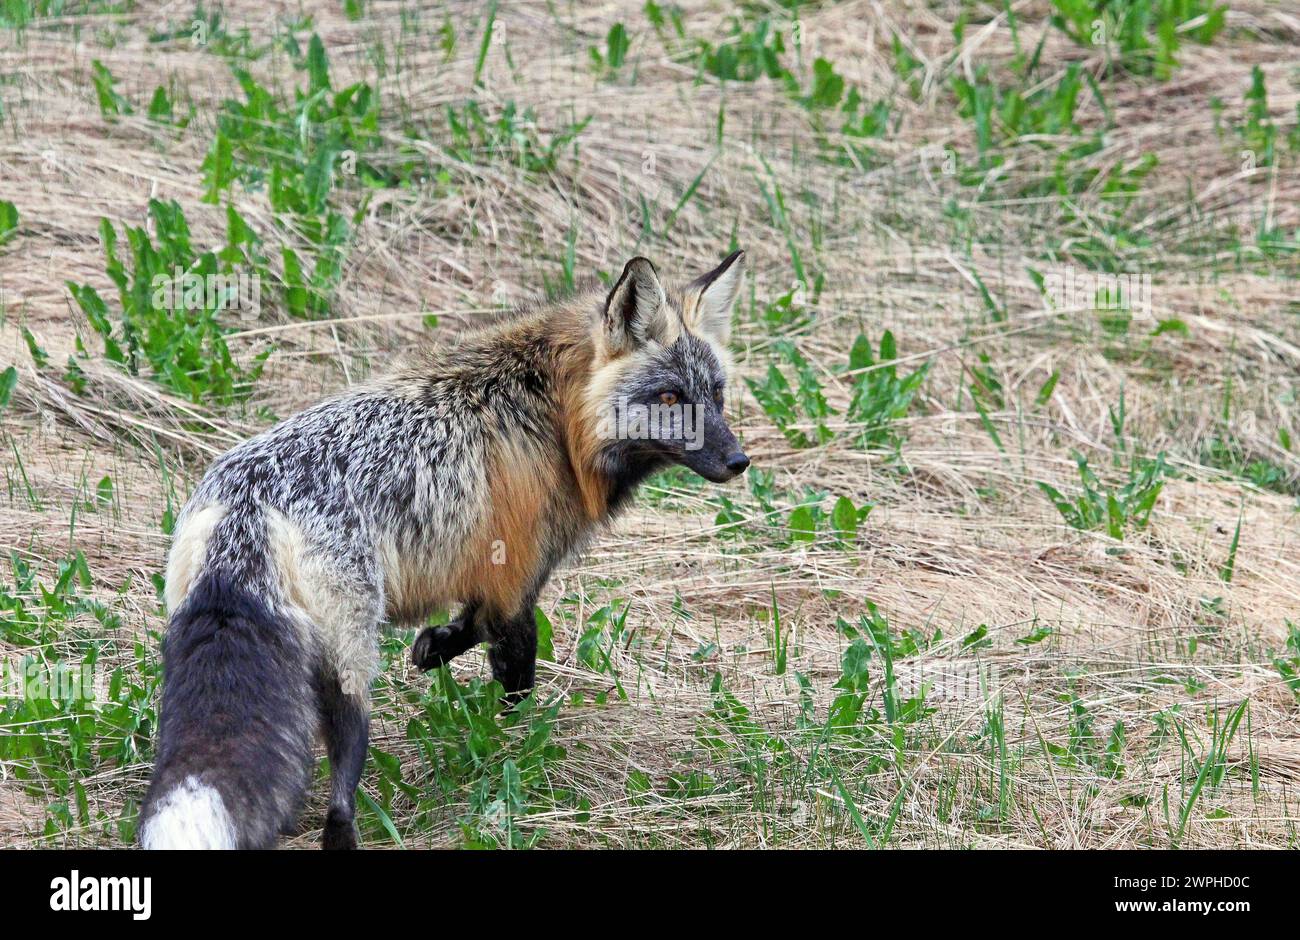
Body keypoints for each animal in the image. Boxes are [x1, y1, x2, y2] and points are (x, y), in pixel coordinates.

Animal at [138, 250, 751, 849]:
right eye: (670, 397)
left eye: (717, 396)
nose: (738, 462)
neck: (551, 418)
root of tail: (250, 505)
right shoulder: (515, 572)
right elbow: (515, 671)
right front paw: (512, 746)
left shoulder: (491, 574)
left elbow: (466, 626)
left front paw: (432, 647)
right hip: (352, 675)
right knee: (340, 803)